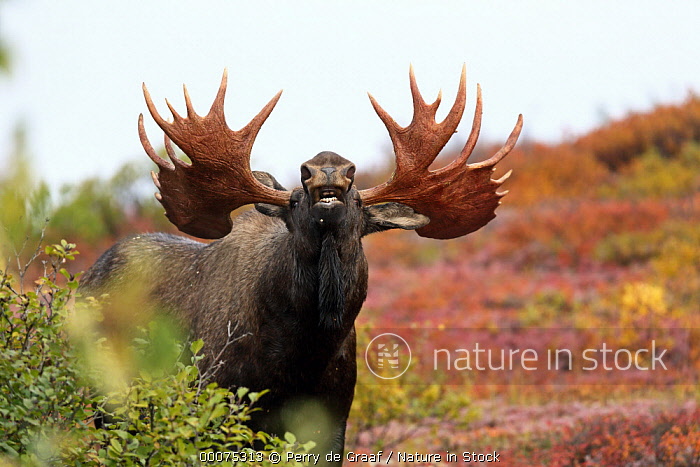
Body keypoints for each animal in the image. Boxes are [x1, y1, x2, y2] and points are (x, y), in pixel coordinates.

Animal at [79, 66, 522, 460]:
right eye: (293, 201)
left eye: (359, 202)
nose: (327, 167)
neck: (302, 350)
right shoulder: (219, 408)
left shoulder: (333, 419)